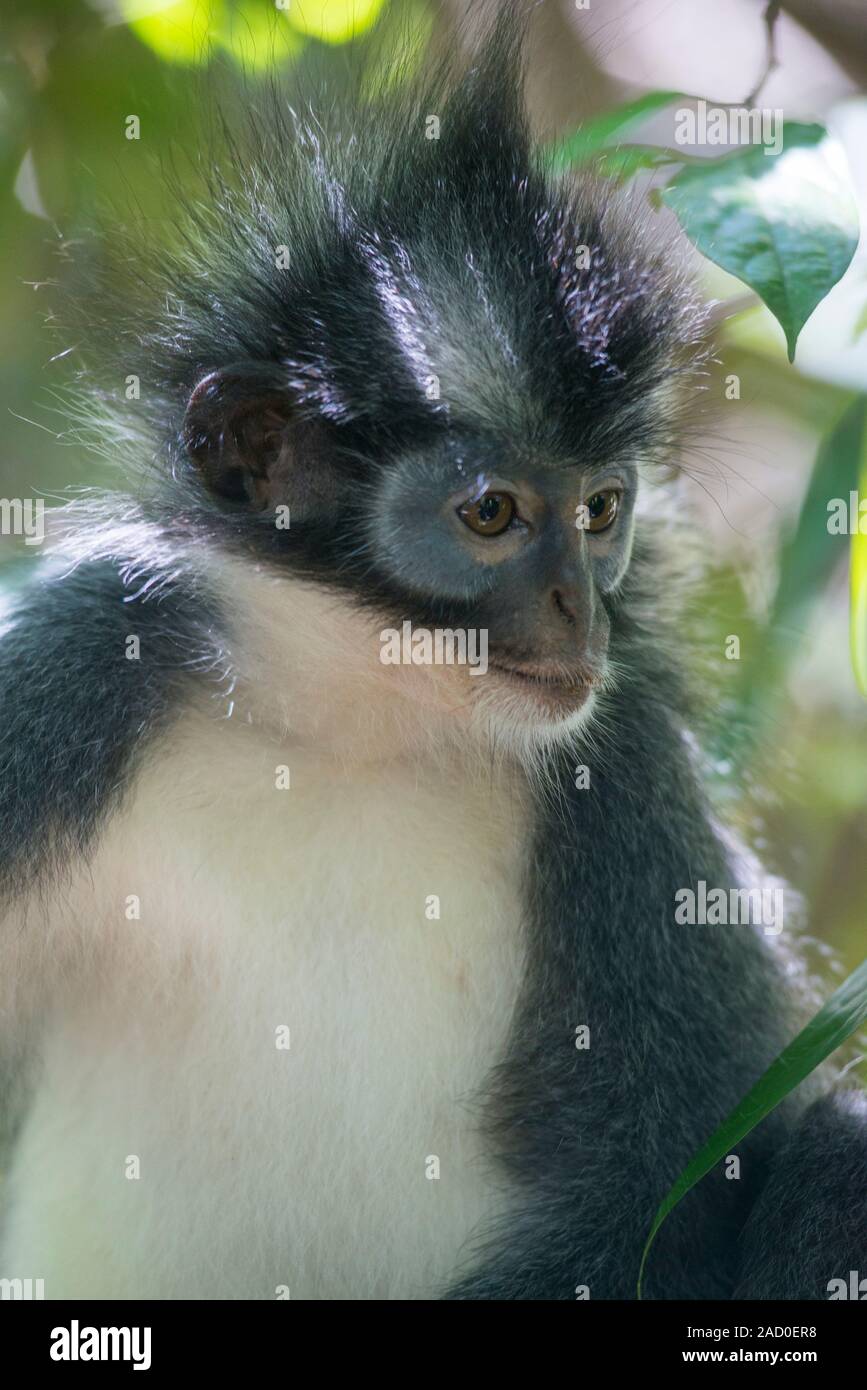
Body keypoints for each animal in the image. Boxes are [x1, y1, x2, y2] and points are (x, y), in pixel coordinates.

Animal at [0, 15, 865, 1302]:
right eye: (492, 514)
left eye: (602, 510)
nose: (579, 612)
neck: (346, 727)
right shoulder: (82, 666)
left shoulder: (625, 769)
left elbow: (668, 1182)